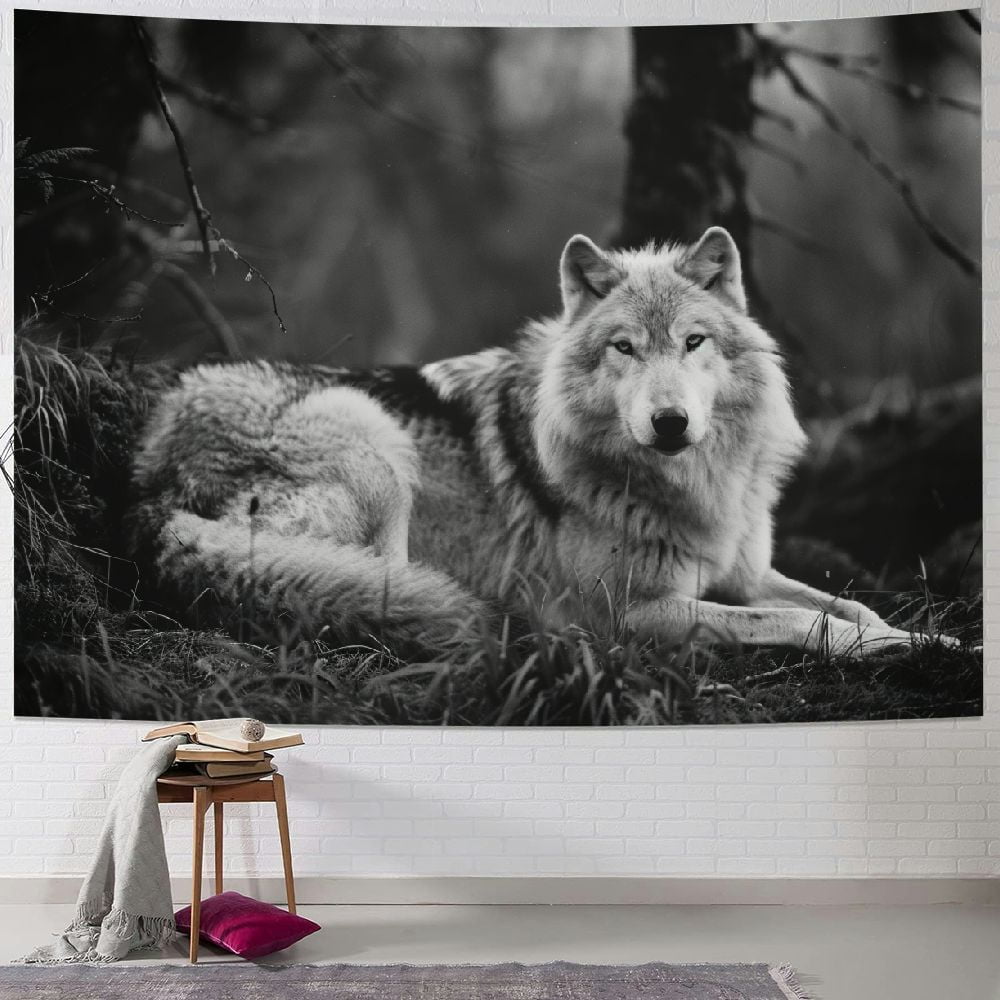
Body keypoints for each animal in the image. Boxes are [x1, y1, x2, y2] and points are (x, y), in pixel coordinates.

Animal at [130, 227, 952, 659]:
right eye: (624, 348)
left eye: (693, 342)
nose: (670, 423)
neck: (688, 490)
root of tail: (153, 484)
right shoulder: (629, 615)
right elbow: (795, 620)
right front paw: (876, 647)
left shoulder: (742, 573)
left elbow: (850, 603)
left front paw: (923, 641)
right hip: (375, 444)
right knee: (379, 590)